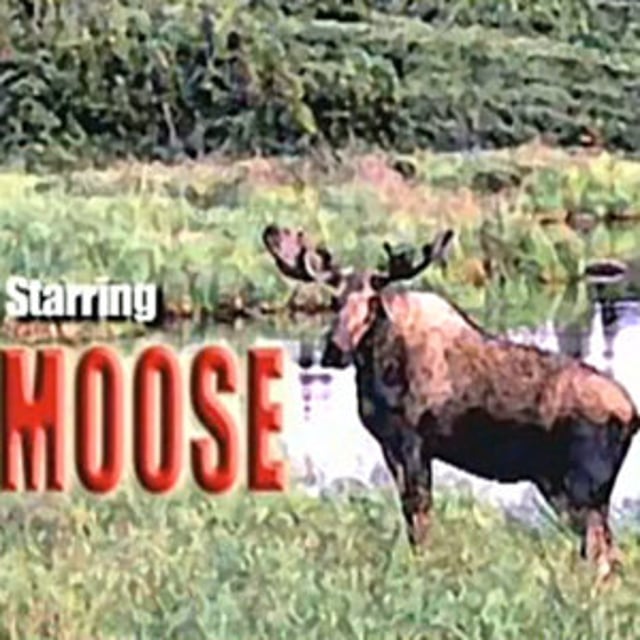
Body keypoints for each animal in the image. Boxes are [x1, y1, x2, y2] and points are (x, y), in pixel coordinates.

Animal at [262, 223, 640, 584]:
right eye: (335, 302)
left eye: (372, 304)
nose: (334, 350)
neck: (378, 366)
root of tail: (632, 415)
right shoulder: (390, 446)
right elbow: (411, 517)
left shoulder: (413, 442)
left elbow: (420, 517)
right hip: (566, 489)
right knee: (607, 553)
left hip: (583, 489)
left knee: (603, 555)